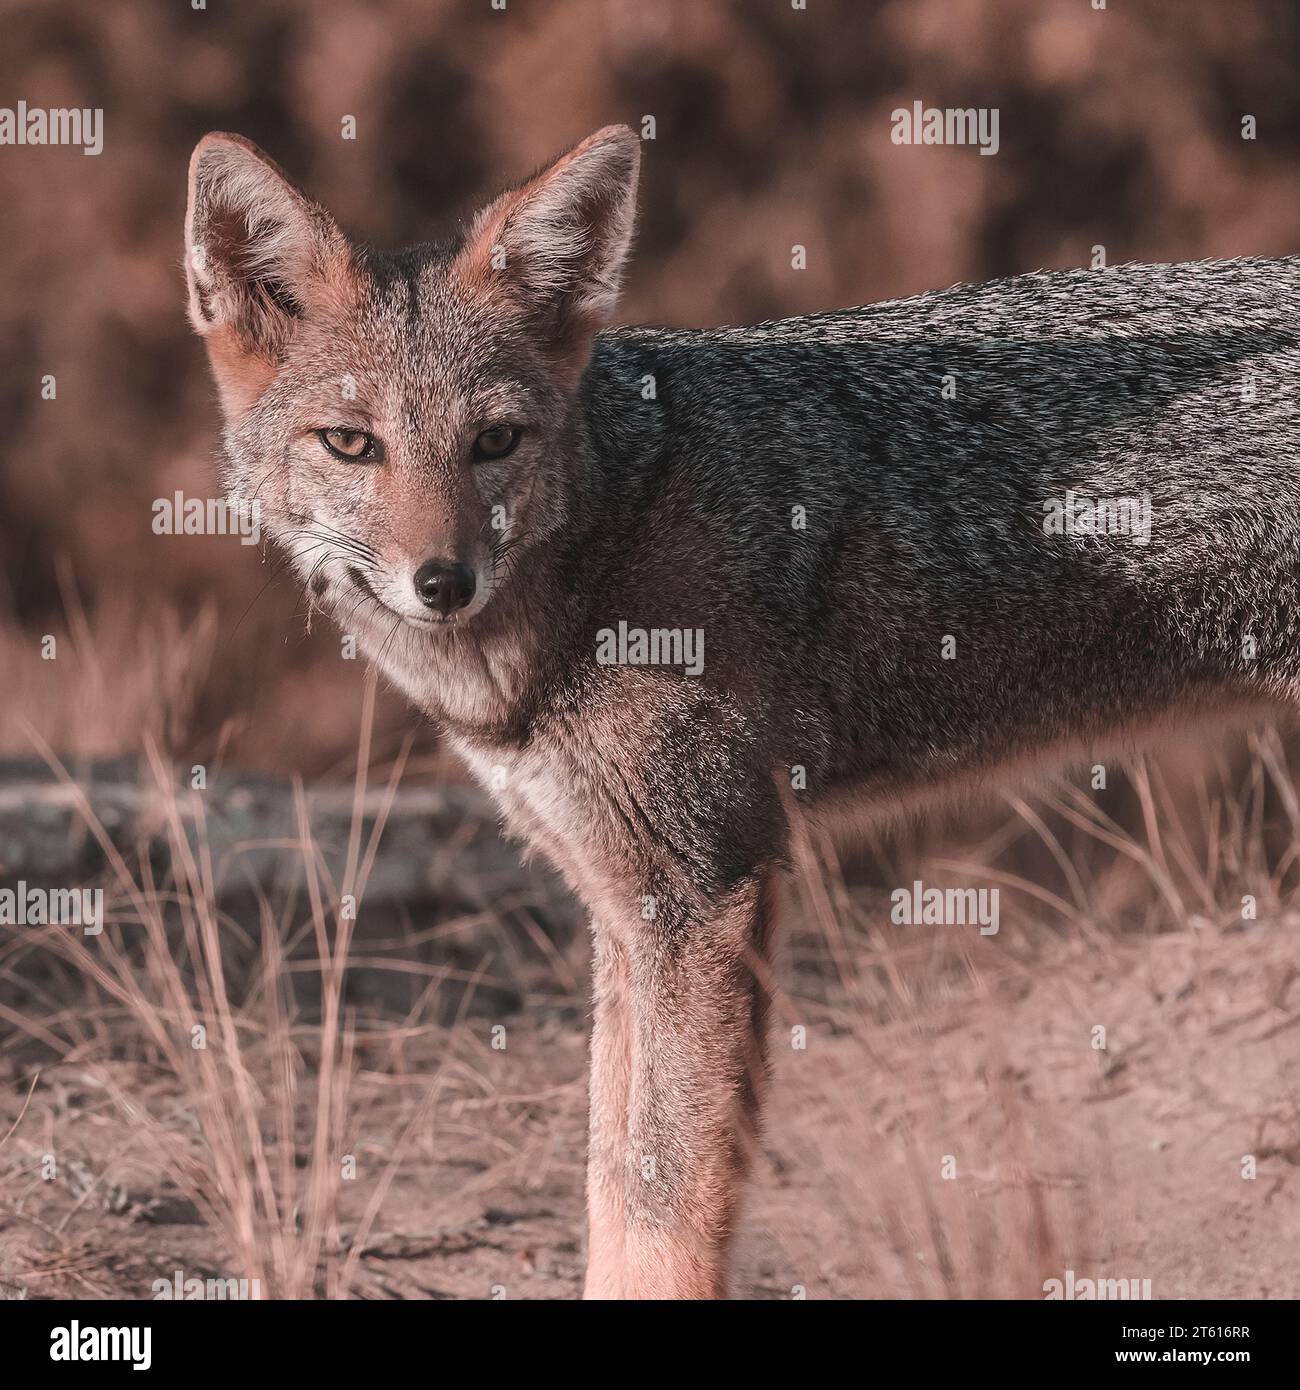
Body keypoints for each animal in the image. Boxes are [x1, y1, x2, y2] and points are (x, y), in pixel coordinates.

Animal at [184, 123, 1300, 1299]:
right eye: (351, 445)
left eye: (494, 442)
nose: (444, 582)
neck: (608, 536)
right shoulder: (623, 900)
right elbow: (610, 1185)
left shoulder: (705, 887)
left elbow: (664, 1205)